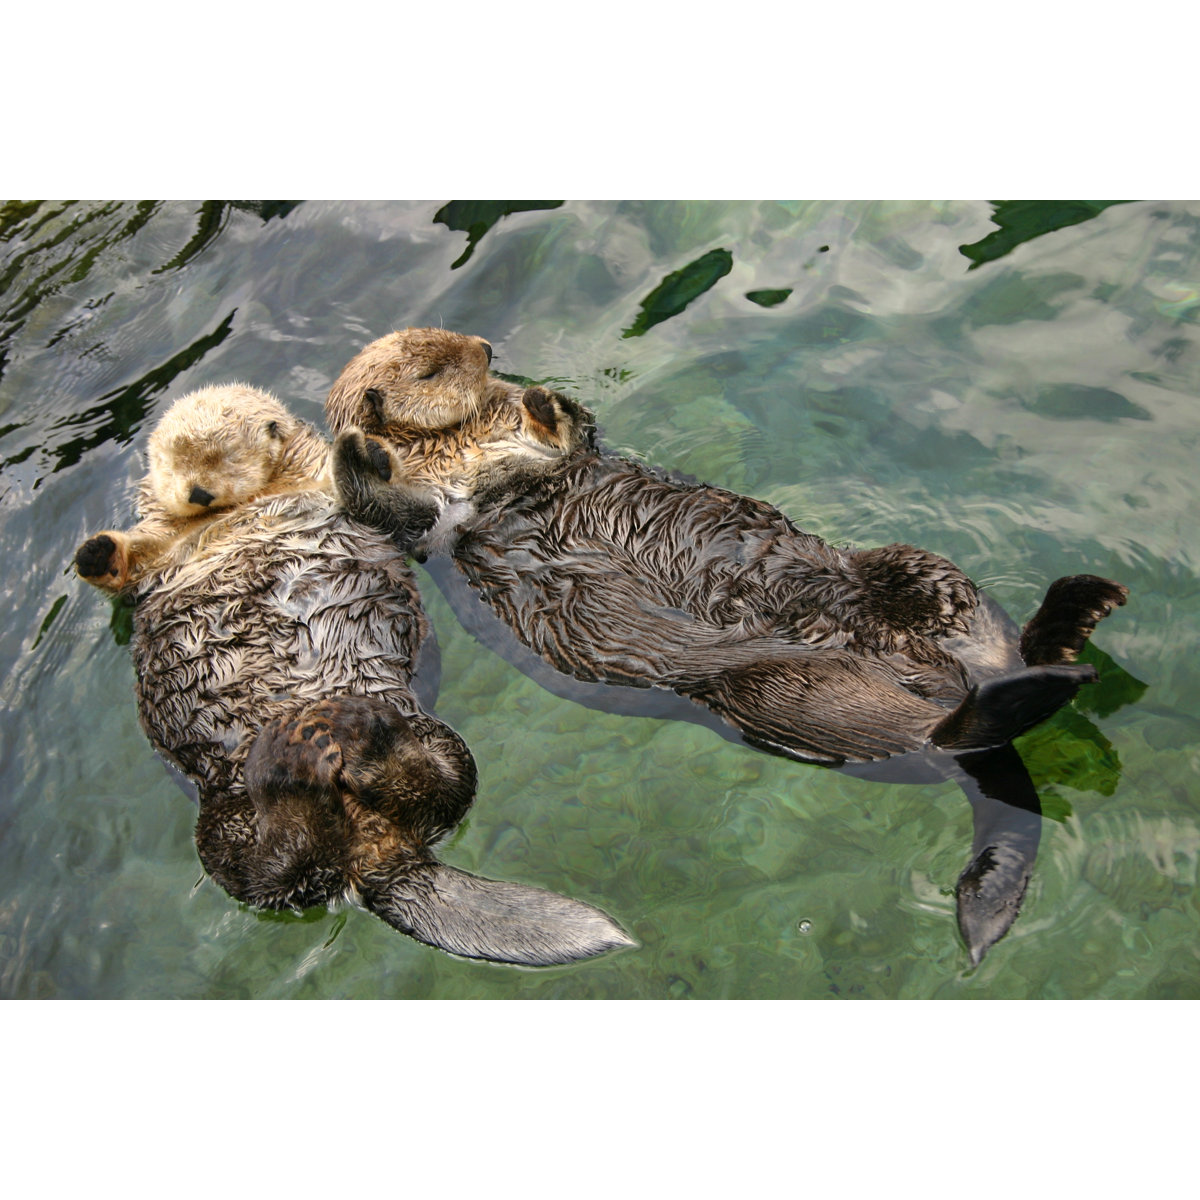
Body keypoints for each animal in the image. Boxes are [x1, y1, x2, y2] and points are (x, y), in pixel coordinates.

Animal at [73, 384, 632, 967]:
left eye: (225, 457)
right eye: (170, 464)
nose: (198, 491)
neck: (243, 506)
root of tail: (373, 853)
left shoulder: (336, 489)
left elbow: (387, 502)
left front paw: (371, 455)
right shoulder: (156, 549)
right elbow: (126, 564)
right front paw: (95, 550)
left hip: (424, 730)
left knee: (442, 787)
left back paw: (358, 741)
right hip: (223, 814)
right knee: (268, 870)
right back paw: (301, 764)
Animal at [327, 327, 1130, 965]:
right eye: (432, 369)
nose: (489, 351)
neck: (463, 445)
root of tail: (935, 680)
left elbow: (577, 433)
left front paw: (545, 402)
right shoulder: (429, 525)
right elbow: (389, 508)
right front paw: (358, 447)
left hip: (913, 575)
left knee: (982, 644)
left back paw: (1072, 619)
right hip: (781, 693)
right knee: (931, 736)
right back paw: (1040, 677)